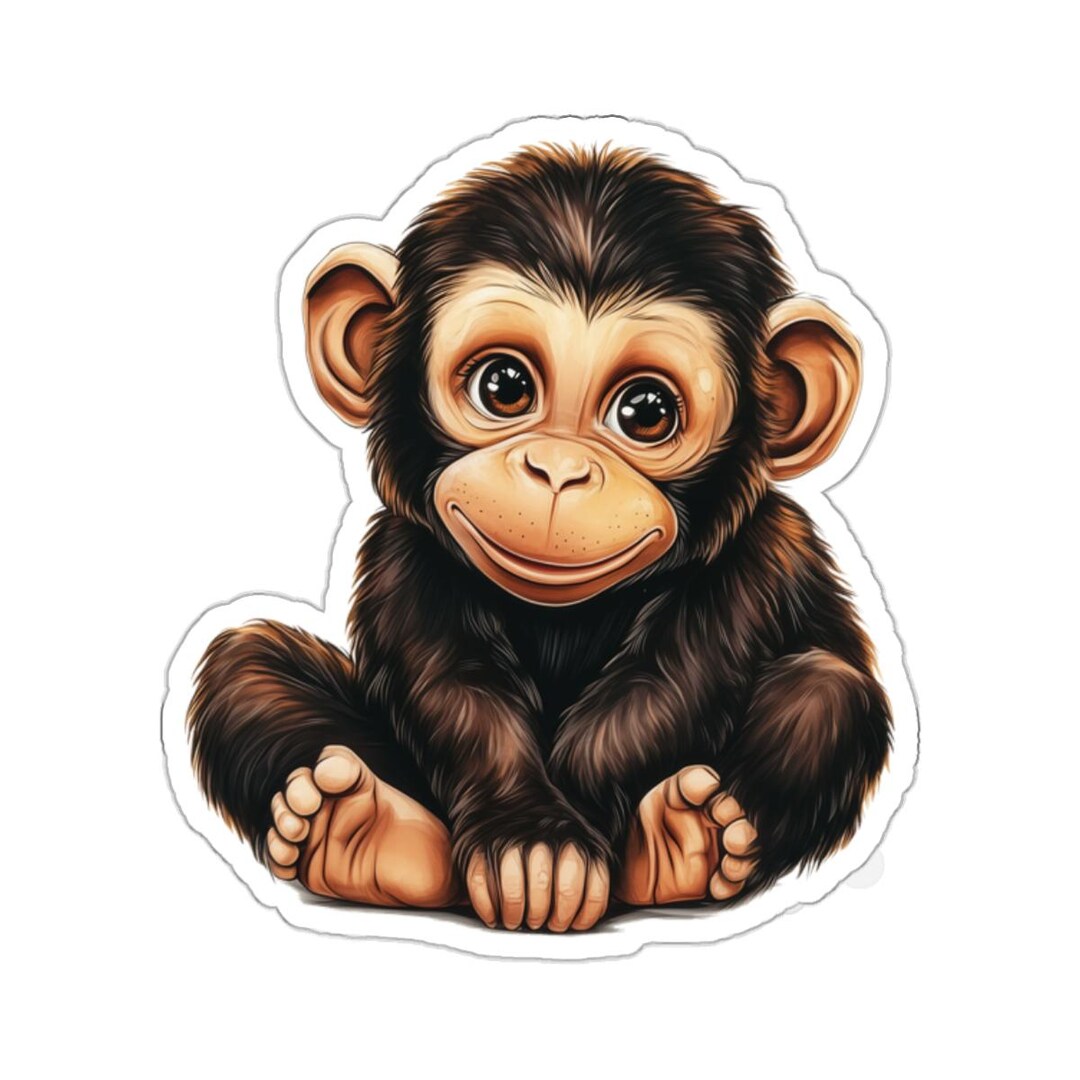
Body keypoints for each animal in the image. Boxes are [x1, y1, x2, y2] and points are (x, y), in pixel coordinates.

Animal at [188, 144, 891, 933]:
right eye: (504, 387)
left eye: (646, 411)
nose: (557, 470)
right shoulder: (404, 548)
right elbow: (449, 679)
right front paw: (528, 835)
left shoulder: (766, 553)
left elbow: (672, 683)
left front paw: (555, 844)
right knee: (247, 663)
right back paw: (367, 835)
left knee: (827, 691)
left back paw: (685, 842)